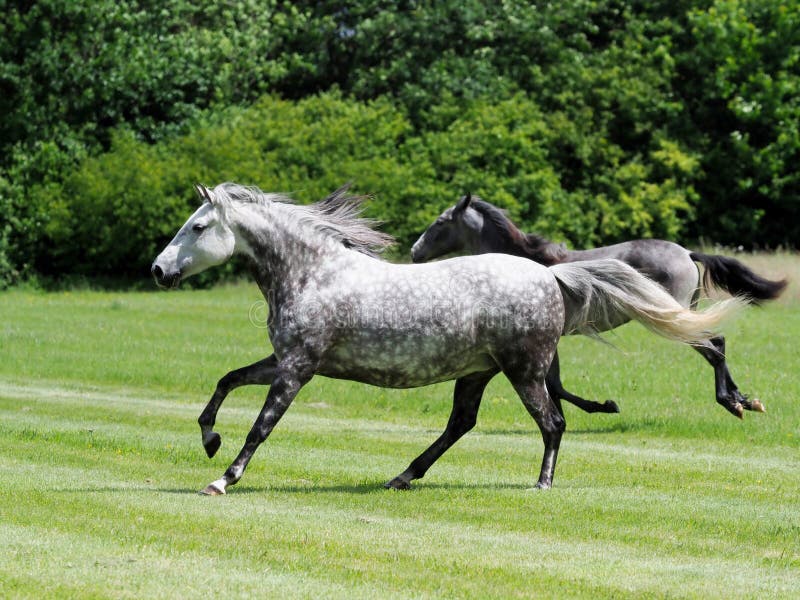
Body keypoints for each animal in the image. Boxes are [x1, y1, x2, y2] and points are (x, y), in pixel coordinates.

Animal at [152, 183, 740, 494]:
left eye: (198, 227)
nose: (158, 271)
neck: (314, 274)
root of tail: (551, 275)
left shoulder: (298, 369)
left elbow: (261, 426)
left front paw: (223, 477)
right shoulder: (288, 360)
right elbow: (227, 381)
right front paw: (209, 438)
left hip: (523, 370)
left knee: (552, 422)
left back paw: (543, 482)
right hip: (478, 373)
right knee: (462, 424)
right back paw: (403, 476)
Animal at [411, 192, 786, 418]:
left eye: (440, 222)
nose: (415, 251)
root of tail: (687, 252)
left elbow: (556, 386)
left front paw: (603, 406)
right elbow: (556, 386)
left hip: (671, 318)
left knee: (713, 346)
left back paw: (732, 402)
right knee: (716, 345)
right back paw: (743, 399)